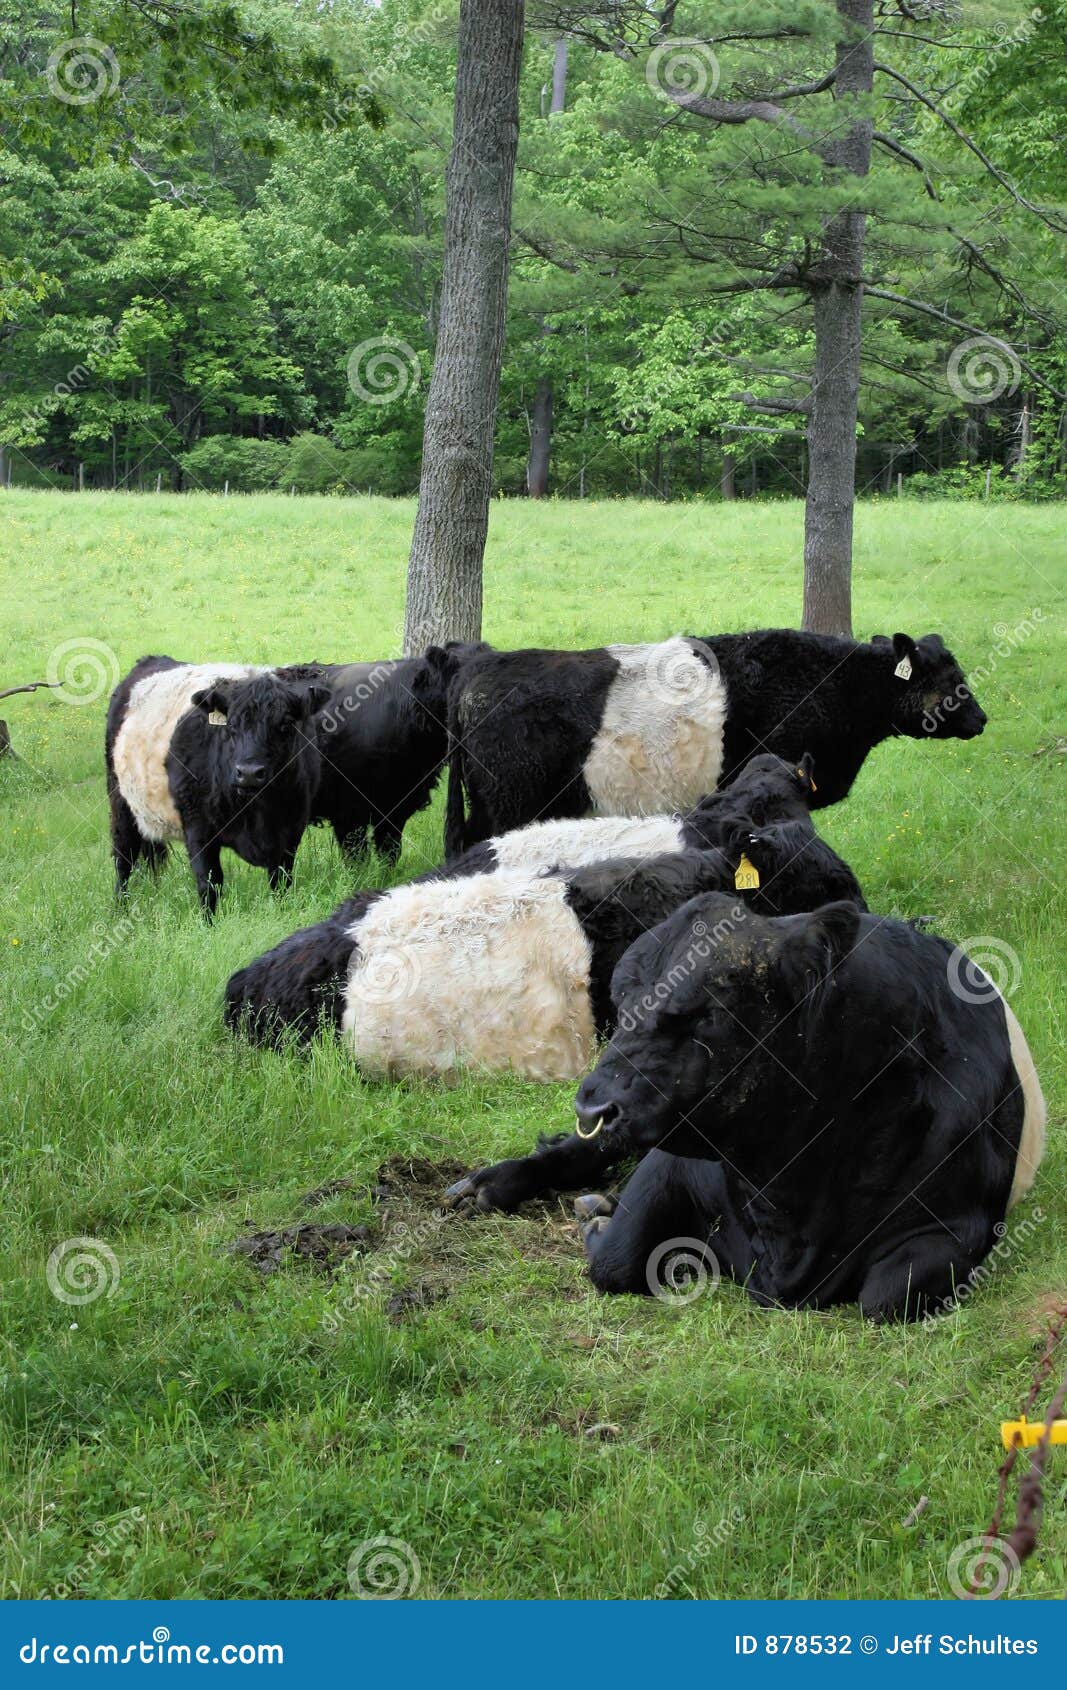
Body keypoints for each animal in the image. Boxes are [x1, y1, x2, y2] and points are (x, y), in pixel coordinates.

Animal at [107, 657, 330, 913]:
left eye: (285, 725)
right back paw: (121, 909)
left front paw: (281, 911)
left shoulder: (291, 830)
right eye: (231, 726)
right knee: (124, 857)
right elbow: (209, 884)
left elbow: (281, 881)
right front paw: (208, 922)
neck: (258, 810)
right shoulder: (197, 828)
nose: (249, 773)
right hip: (121, 804)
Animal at [448, 896, 1045, 1324]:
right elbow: (615, 1259)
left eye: (708, 1015)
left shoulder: (961, 1222)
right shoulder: (678, 1158)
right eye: (618, 1007)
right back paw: (493, 1183)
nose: (592, 1100)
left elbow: (888, 1295)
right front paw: (598, 1224)